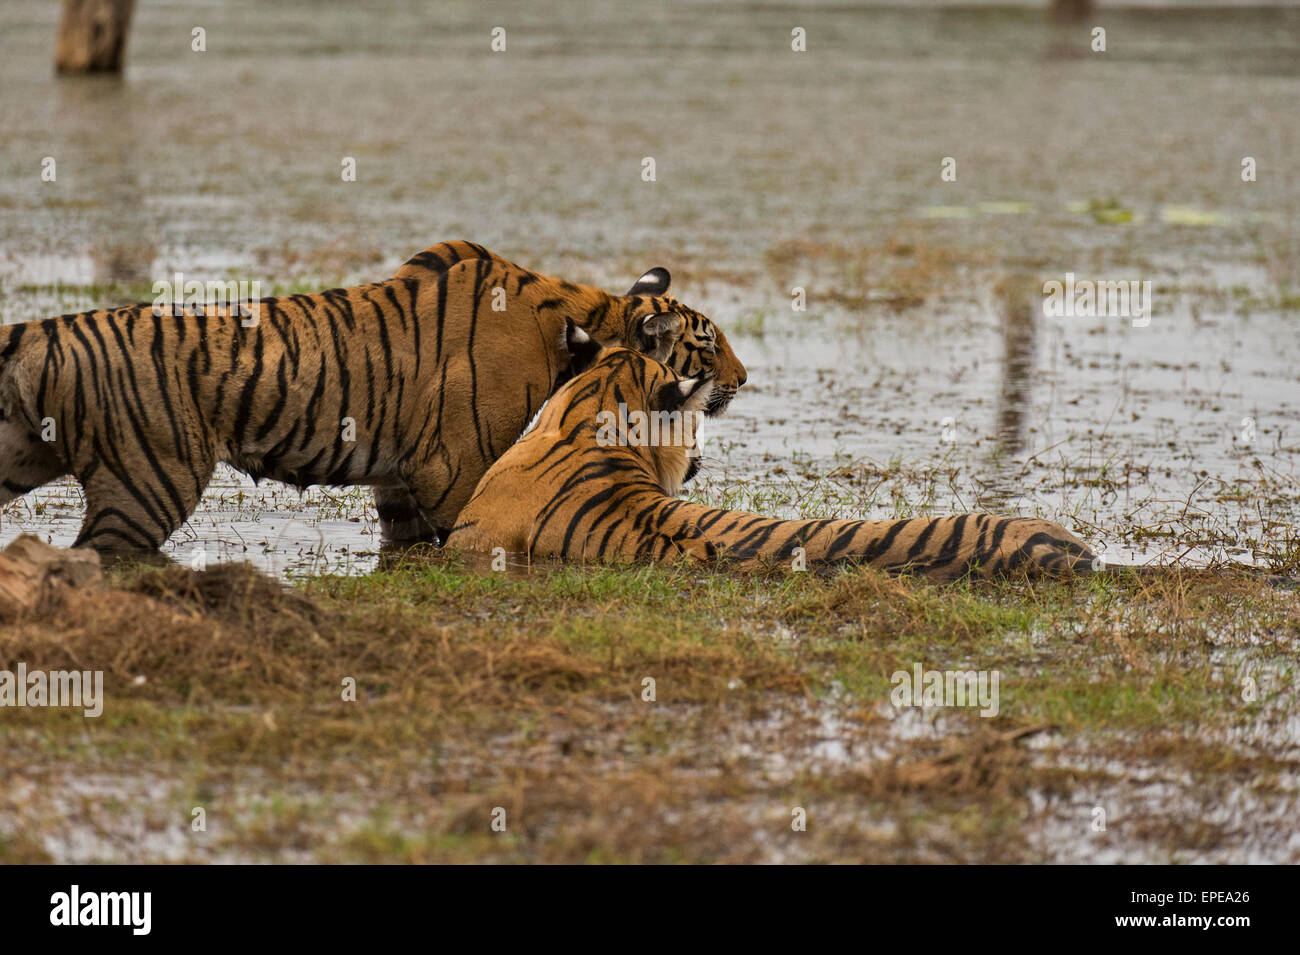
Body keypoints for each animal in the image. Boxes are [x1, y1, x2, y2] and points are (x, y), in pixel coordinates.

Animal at [0, 240, 746, 557]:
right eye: (706, 346)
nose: (741, 381)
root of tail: (45, 328)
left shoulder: (400, 481)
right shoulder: (452, 469)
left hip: (20, 456)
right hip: (149, 481)